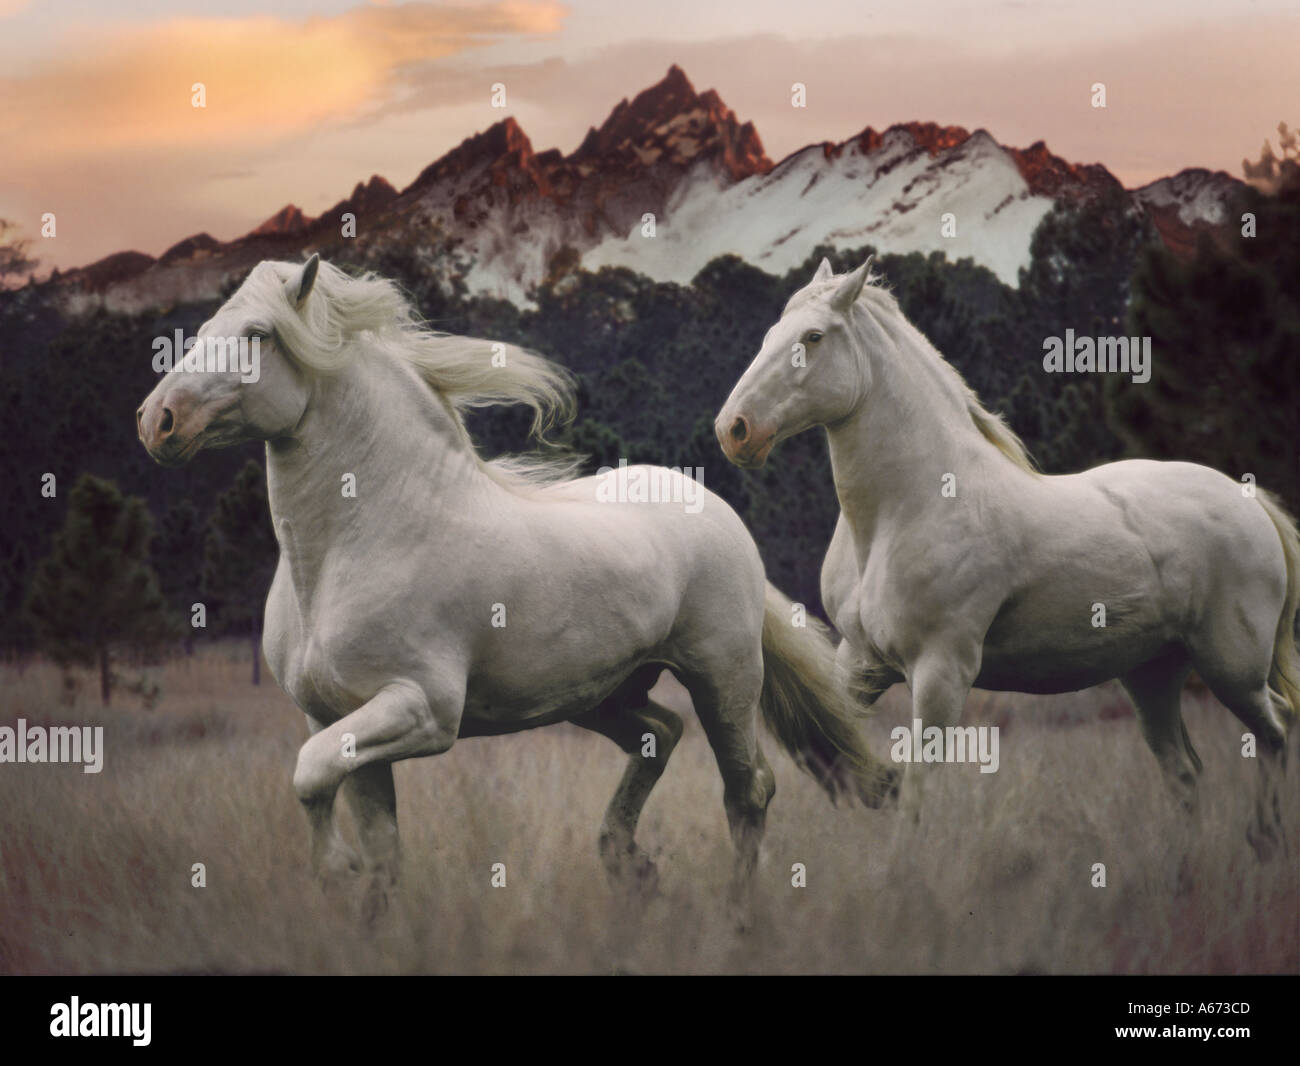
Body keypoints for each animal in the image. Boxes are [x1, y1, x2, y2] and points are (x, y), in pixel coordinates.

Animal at [136, 254, 898, 916]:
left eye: (258, 335)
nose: (157, 421)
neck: (349, 551)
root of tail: (720, 513)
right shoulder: (332, 716)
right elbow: (380, 846)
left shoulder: (422, 710)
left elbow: (310, 776)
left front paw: (334, 869)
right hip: (601, 693)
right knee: (660, 732)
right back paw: (629, 864)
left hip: (723, 678)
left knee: (749, 791)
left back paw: (735, 914)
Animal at [715, 256, 1298, 852]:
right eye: (770, 334)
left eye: (813, 337)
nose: (734, 430)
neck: (901, 512)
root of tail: (1252, 501)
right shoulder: (861, 662)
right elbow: (833, 750)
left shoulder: (941, 673)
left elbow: (917, 793)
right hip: (1152, 672)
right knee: (1184, 772)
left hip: (1231, 663)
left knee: (1275, 728)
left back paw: (1264, 842)